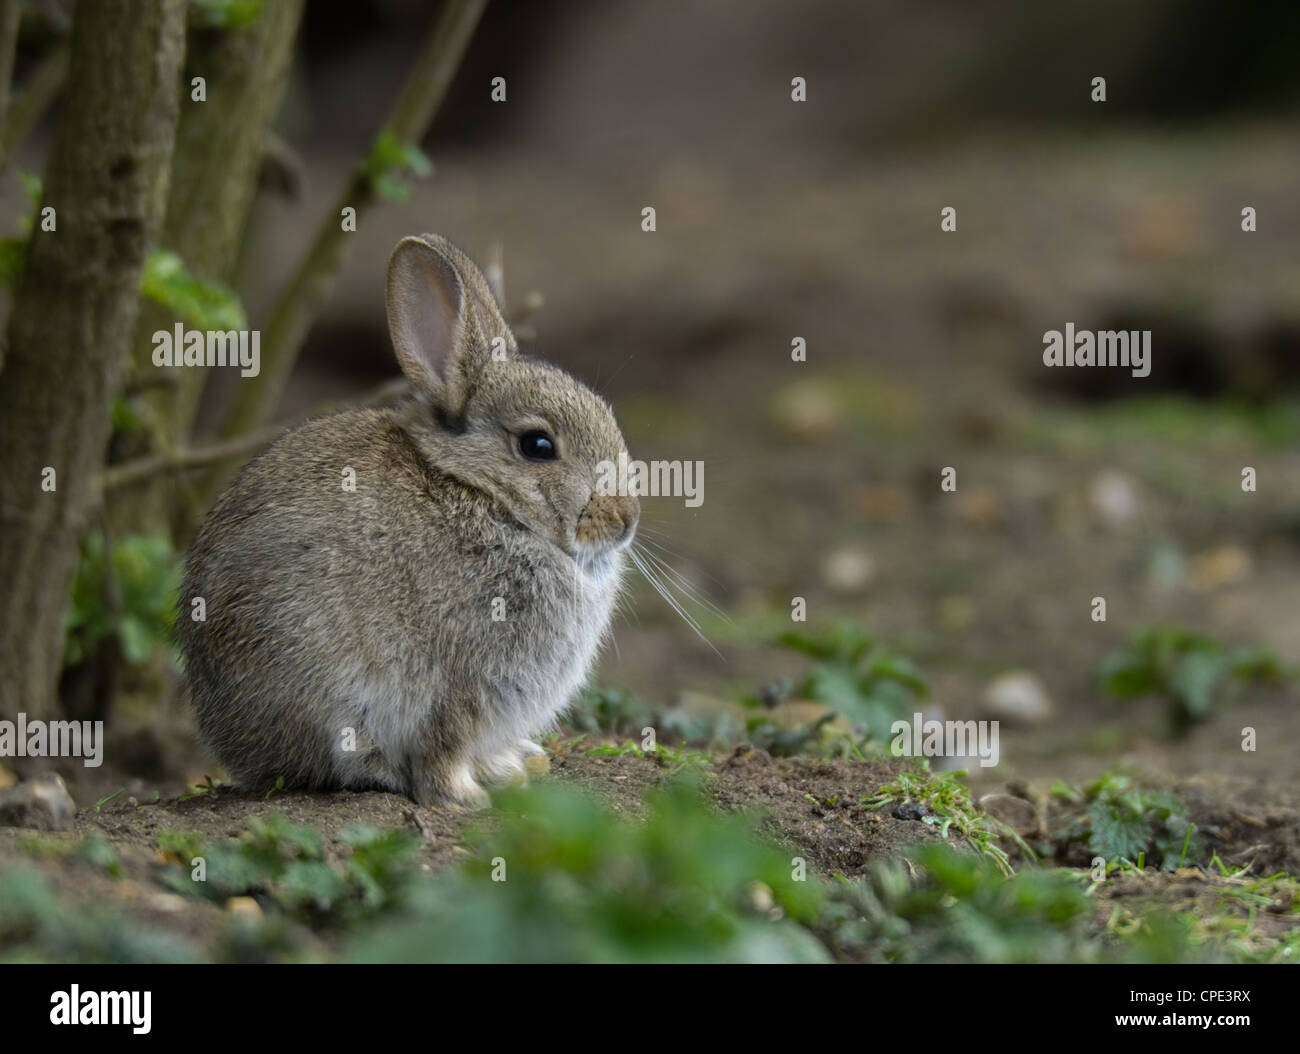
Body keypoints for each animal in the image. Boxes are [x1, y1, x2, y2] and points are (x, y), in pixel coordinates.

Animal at [178, 234, 639, 807]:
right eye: (538, 446)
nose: (626, 518)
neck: (486, 496)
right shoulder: (460, 684)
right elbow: (443, 743)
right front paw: (464, 797)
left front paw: (503, 770)